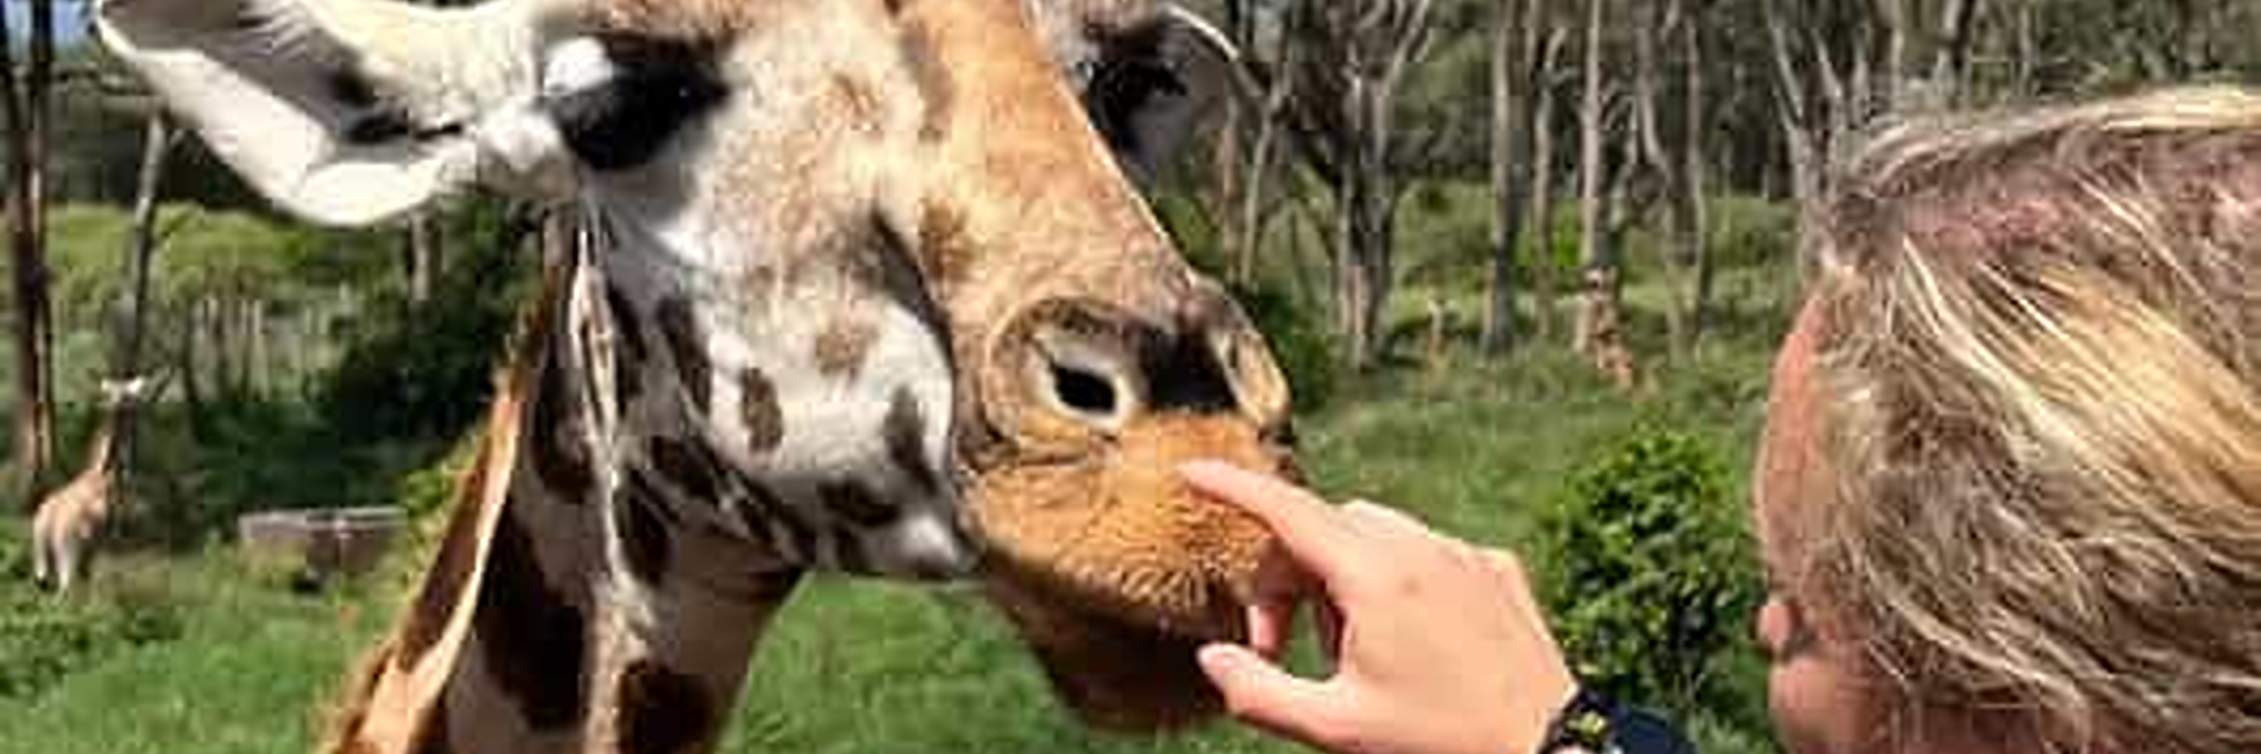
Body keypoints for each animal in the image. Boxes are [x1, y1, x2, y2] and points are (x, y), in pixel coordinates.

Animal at [30, 377, 155, 594]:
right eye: (131, 395)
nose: (120, 405)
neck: (102, 473)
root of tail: (46, 526)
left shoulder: (89, 553)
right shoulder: (95, 547)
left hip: (42, 563)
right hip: (68, 555)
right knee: (64, 591)